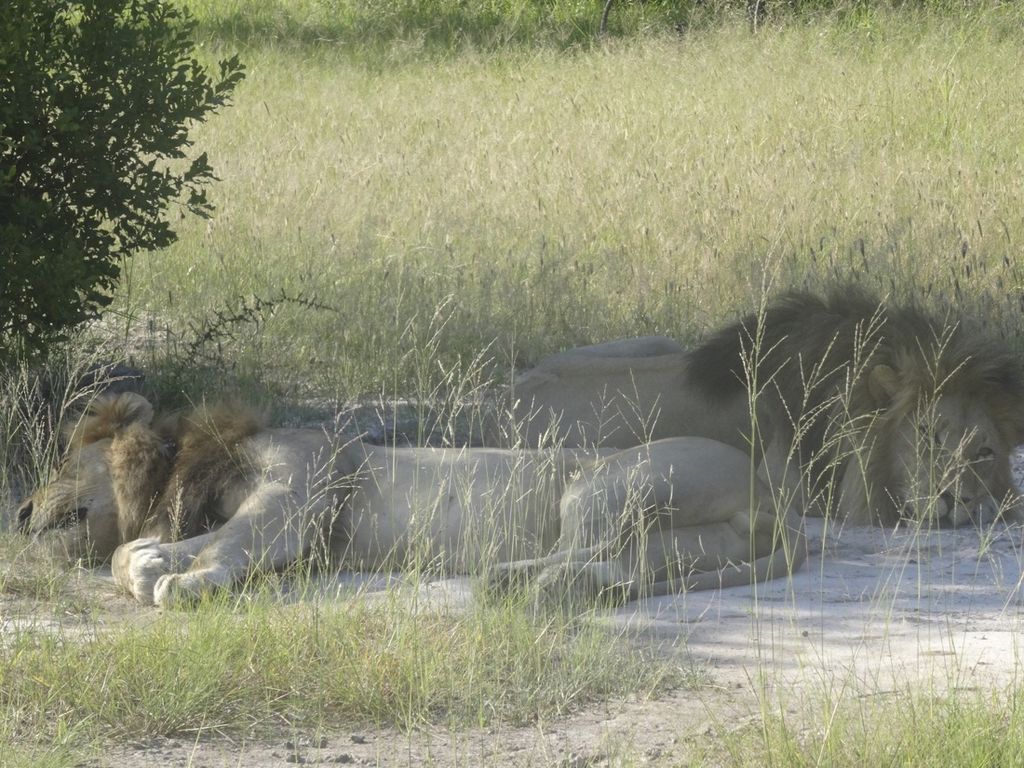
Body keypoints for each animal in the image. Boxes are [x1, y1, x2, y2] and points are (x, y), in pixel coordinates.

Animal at [16, 393, 804, 608]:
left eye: (61, 460)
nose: (19, 512)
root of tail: (776, 500)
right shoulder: (300, 532)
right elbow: (127, 550)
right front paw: (149, 559)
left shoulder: (297, 494)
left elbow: (229, 545)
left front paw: (180, 580)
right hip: (675, 544)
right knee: (614, 571)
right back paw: (520, 585)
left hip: (604, 482)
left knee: (588, 554)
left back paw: (512, 587)